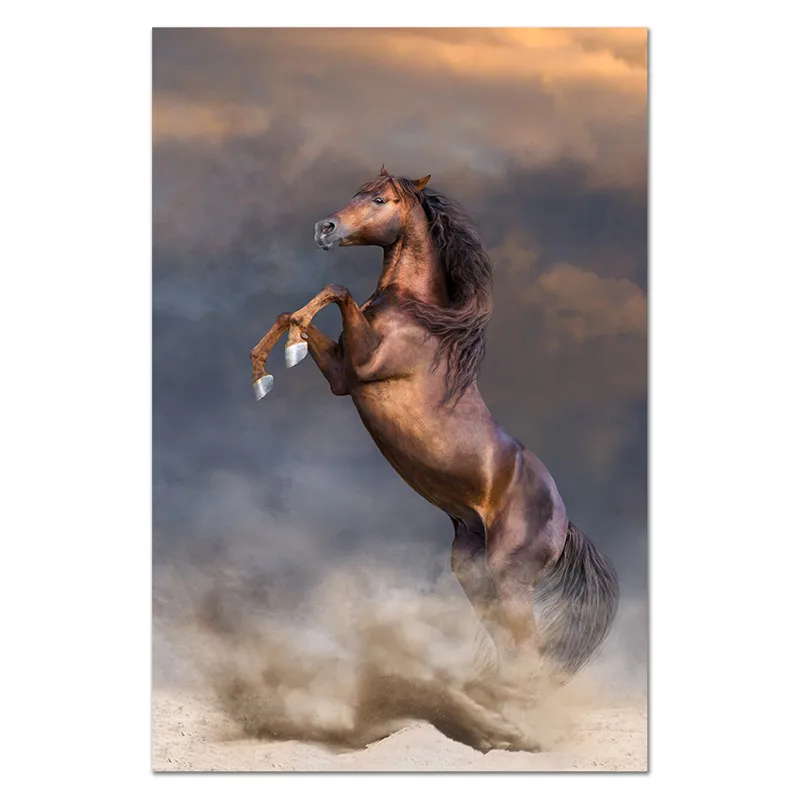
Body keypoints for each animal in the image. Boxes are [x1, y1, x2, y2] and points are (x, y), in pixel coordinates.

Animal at [250, 167, 619, 730]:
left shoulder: (361, 366)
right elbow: (294, 313)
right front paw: (263, 373)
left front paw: (281, 357)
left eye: (379, 199)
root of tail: (563, 521)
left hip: (510, 577)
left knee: (529, 647)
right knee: (509, 646)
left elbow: (335, 290)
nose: (324, 229)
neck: (416, 316)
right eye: (356, 192)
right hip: (474, 573)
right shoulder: (341, 376)